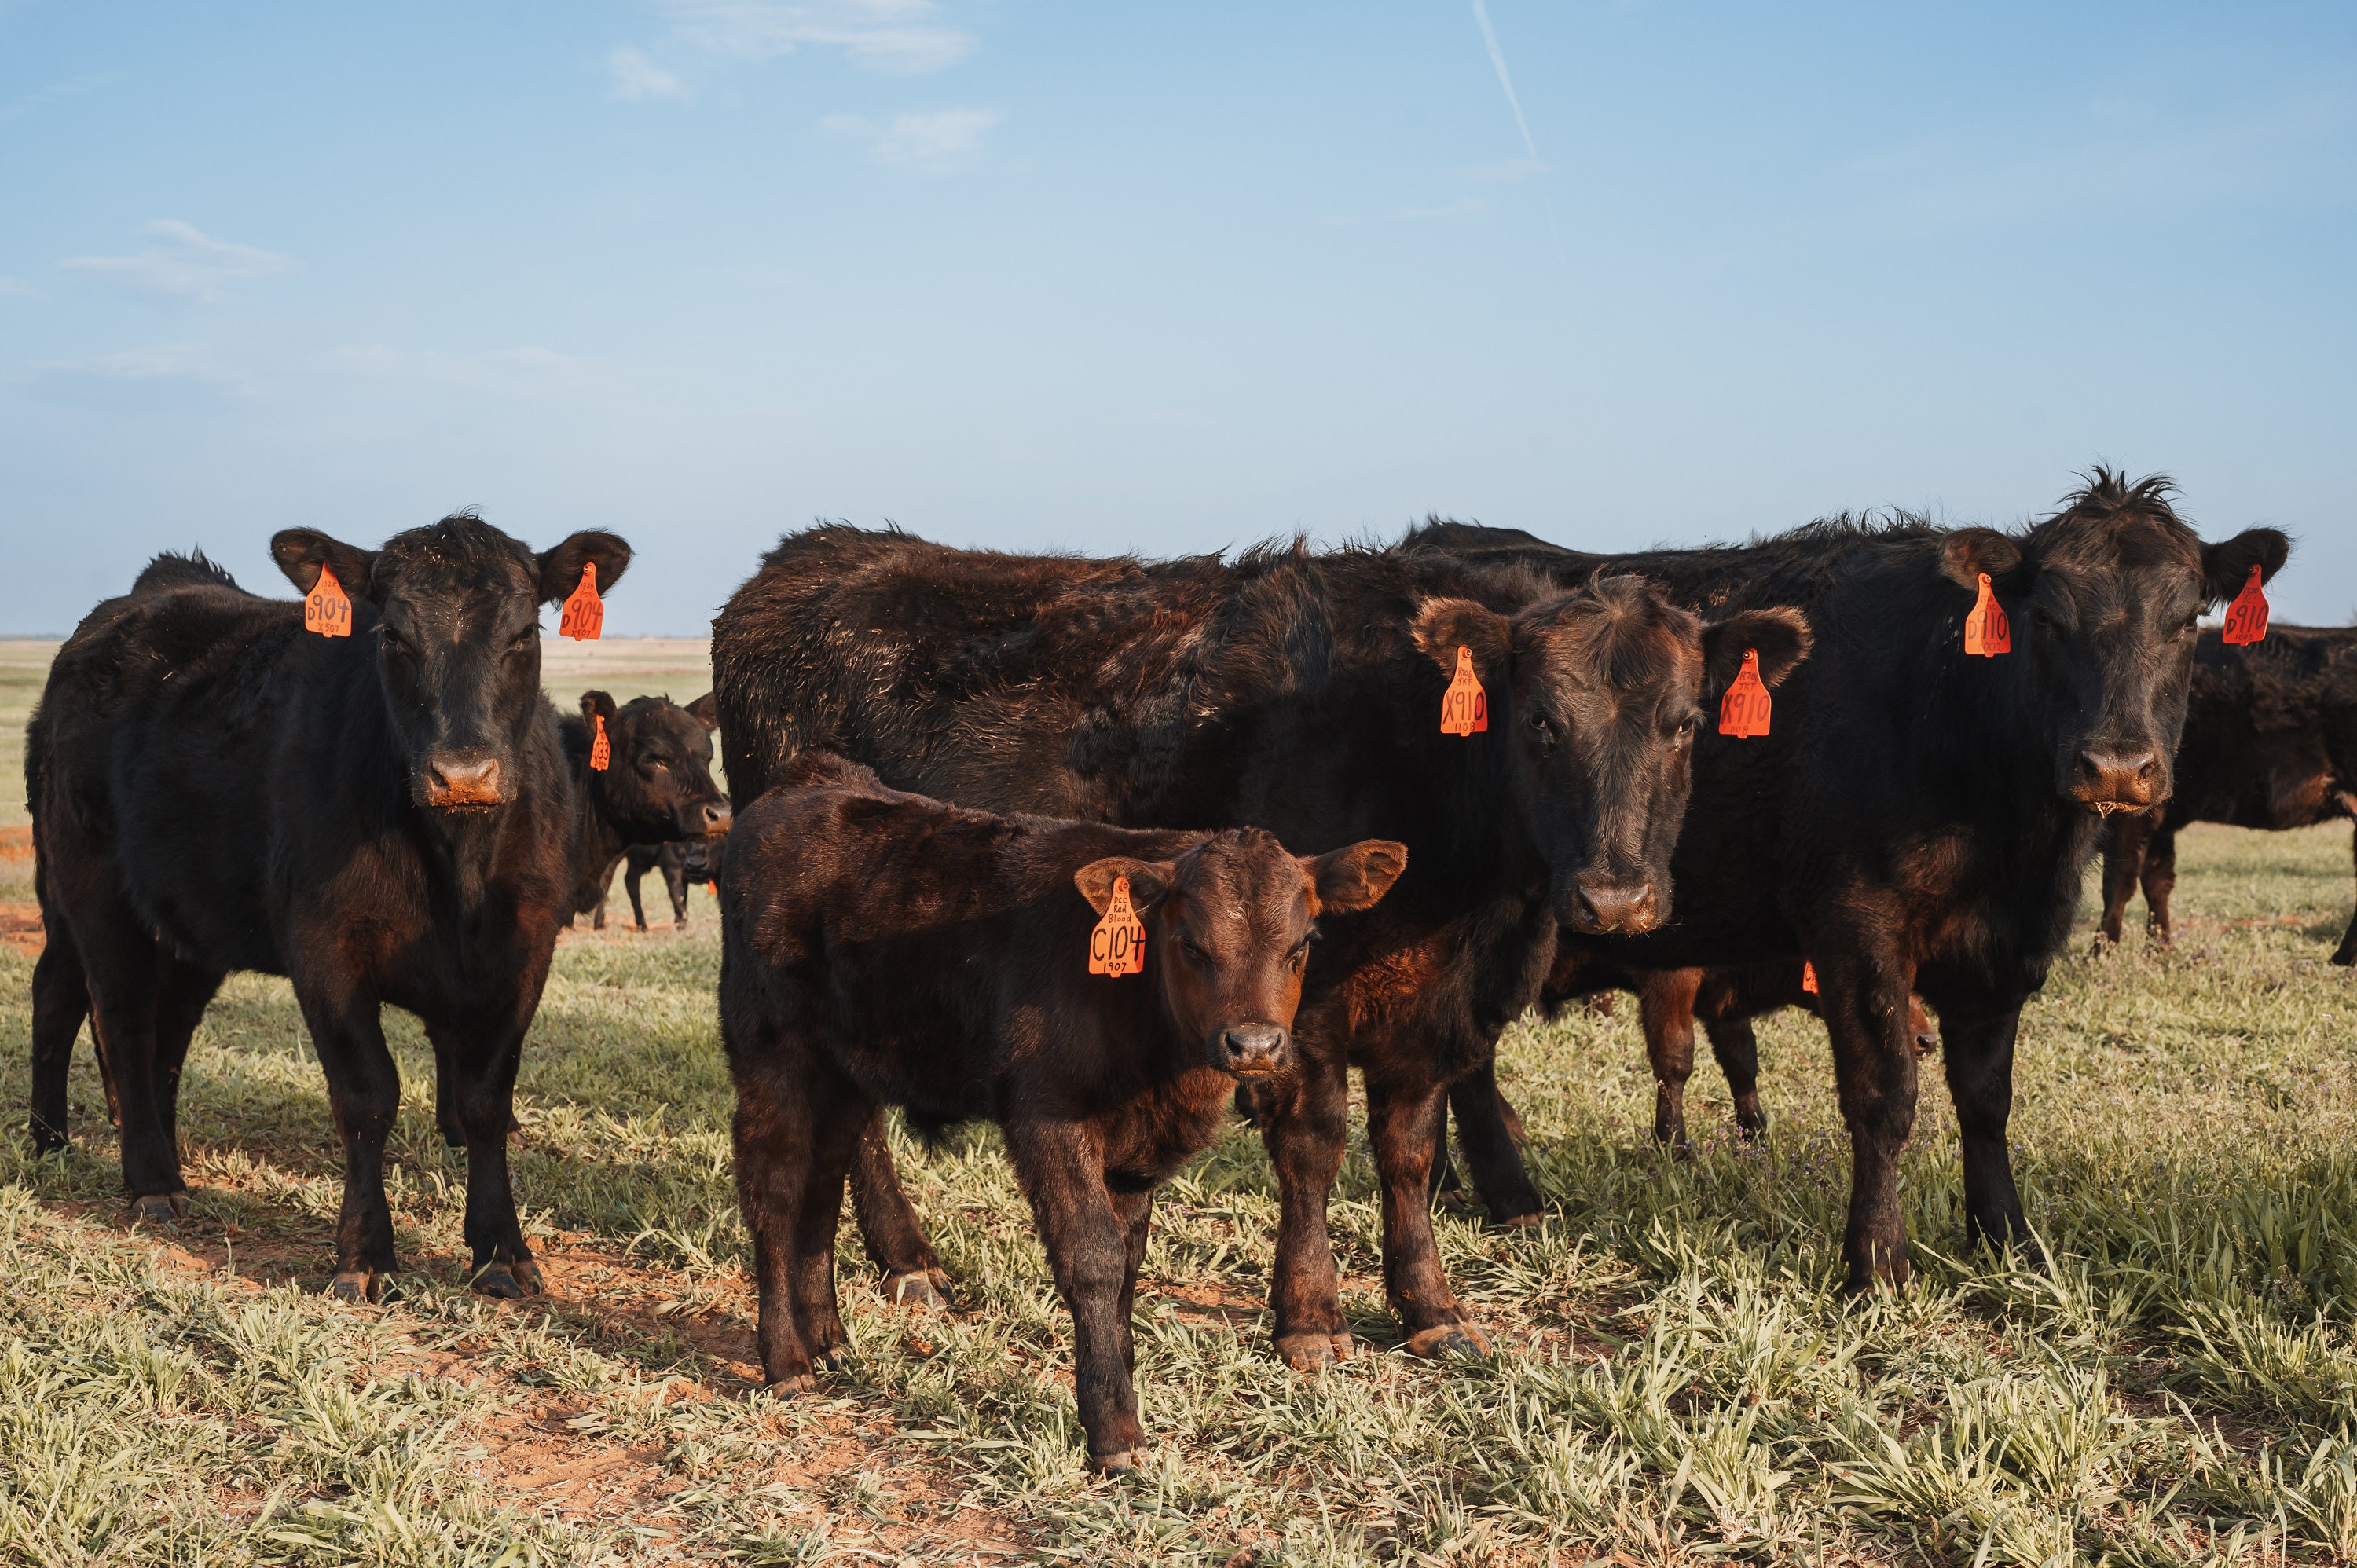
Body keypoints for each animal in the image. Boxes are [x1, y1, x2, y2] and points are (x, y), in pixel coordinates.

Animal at [26, 515, 630, 1303]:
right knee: (113, 1015)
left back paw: (123, 1149)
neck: (457, 868)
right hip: (89, 887)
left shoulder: (524, 951)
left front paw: (502, 1250)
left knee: (159, 1025)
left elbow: (486, 1100)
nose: (463, 773)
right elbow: (368, 1093)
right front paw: (364, 1253)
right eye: (392, 636)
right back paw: (138, 1175)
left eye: (525, 631)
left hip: (188, 917)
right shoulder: (325, 947)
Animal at [712, 526, 1811, 1365]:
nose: (1617, 896)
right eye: (1541, 721)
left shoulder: (1423, 1016)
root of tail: (805, 559)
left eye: (1684, 722)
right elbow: (1315, 1151)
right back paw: (909, 1261)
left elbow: (1408, 1154)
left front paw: (1430, 1306)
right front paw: (1311, 1315)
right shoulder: (1300, 1011)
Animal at [720, 751, 1406, 1470]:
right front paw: (1114, 1427)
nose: (1253, 1045)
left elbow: (1127, 1263)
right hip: (771, 1058)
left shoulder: (1135, 1153)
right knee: (774, 1190)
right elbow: (1093, 1258)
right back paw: (787, 1360)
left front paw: (1118, 1380)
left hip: (846, 1074)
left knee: (823, 1183)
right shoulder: (1048, 1118)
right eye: (1191, 943)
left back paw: (827, 1336)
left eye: (1302, 945)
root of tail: (810, 779)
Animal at [1402, 471, 2289, 1291]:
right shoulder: (1855, 923)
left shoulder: (2002, 946)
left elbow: (1986, 1098)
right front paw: (1878, 1260)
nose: (2117, 766)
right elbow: (1884, 1094)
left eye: (2187, 620)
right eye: (2046, 619)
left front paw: (2008, 1238)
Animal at [2095, 625, 2357, 962]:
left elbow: (2118, 883)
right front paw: (2160, 950)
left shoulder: (2129, 814)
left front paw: (2099, 955)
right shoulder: (2163, 819)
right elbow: (2156, 880)